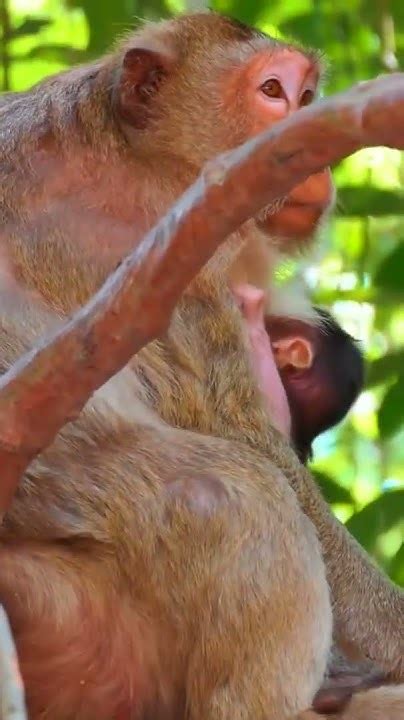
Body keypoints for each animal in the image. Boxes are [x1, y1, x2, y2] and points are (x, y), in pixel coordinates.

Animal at [0, 10, 402, 719]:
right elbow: (249, 446)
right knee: (236, 496)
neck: (129, 150)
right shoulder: (175, 250)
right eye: (272, 91)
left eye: (306, 96)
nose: (317, 157)